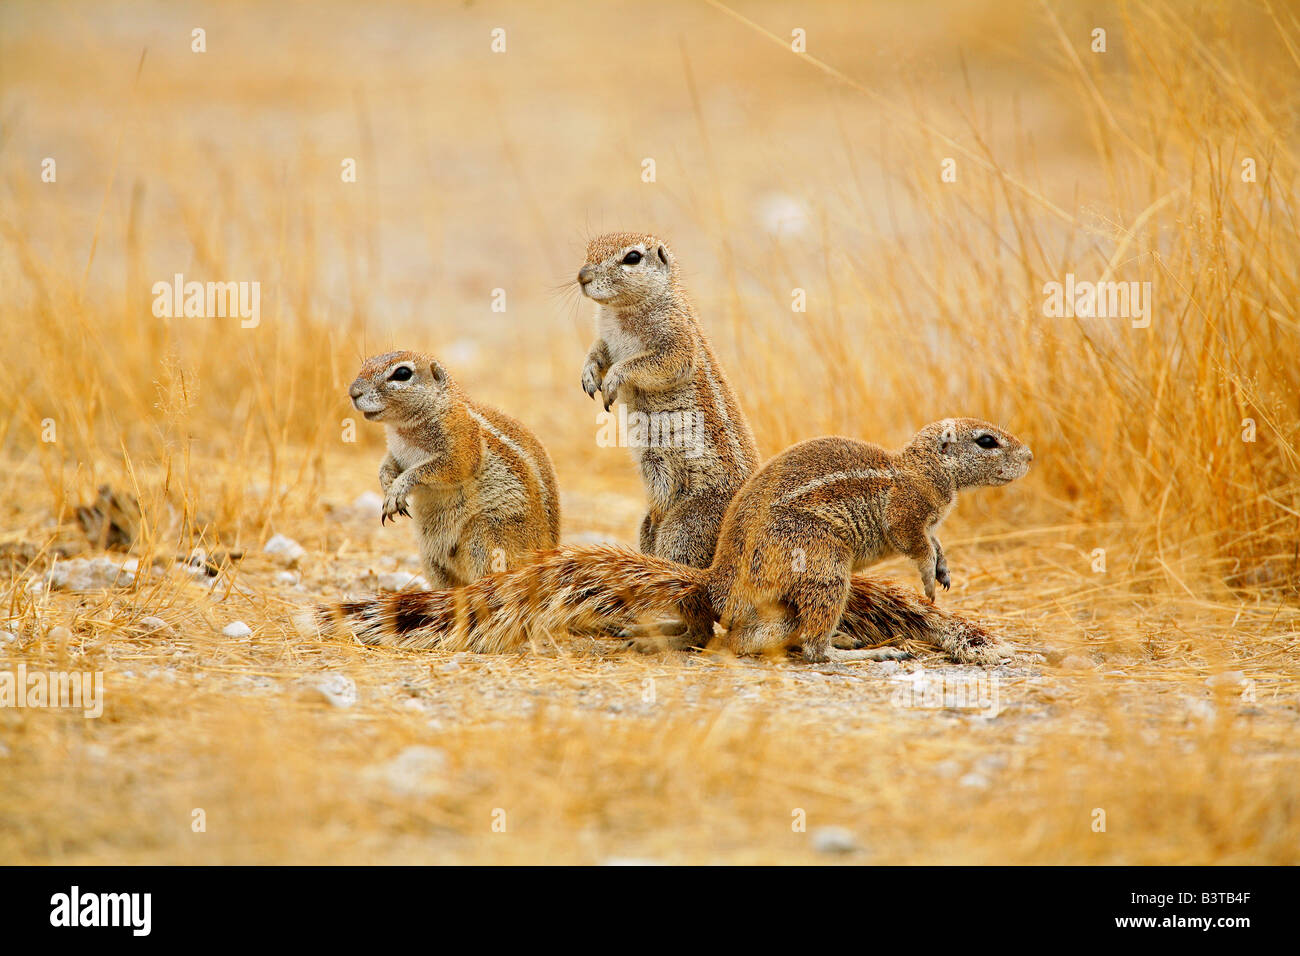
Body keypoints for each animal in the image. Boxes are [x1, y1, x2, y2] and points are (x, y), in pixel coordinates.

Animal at [318, 418, 1030, 665]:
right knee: (804, 648)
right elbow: (917, 542)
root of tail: (715, 581)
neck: (922, 467)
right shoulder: (912, 513)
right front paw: (931, 572)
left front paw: (945, 567)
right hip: (823, 566)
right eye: (987, 440)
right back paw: (860, 653)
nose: (1027, 456)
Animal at [348, 350, 560, 588]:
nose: (353, 392)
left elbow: (437, 468)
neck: (403, 430)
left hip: (486, 535)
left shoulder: (461, 444)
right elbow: (386, 465)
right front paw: (387, 486)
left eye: (402, 373)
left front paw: (398, 489)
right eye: (365, 364)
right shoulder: (396, 453)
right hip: (429, 557)